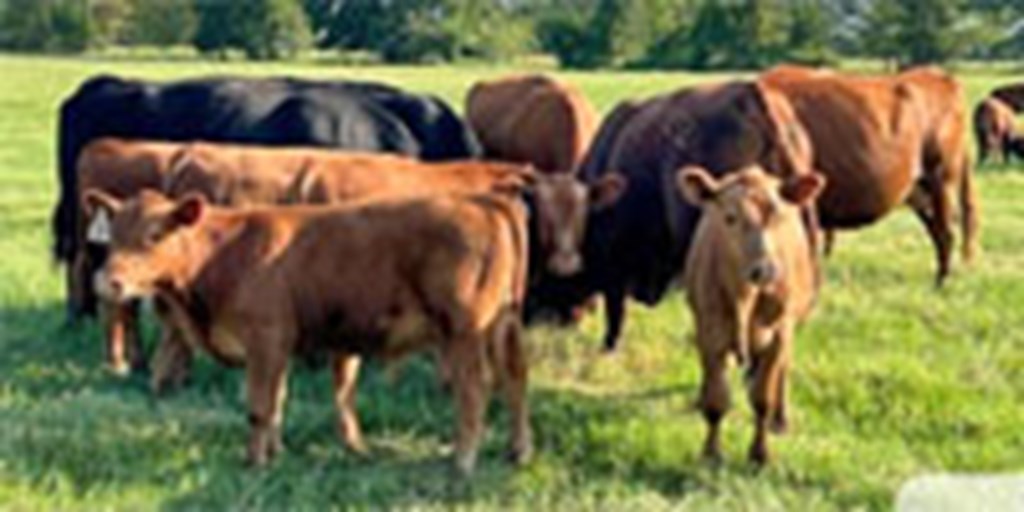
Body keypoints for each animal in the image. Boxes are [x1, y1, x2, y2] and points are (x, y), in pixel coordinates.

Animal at [678, 165, 824, 465]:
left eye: (779, 216)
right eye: (730, 217)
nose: (766, 269)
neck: (744, 299)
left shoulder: (780, 333)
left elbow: (762, 398)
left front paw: (759, 454)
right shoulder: (709, 332)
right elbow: (716, 399)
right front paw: (711, 453)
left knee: (783, 370)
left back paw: (781, 418)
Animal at [762, 65, 978, 283]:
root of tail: (936, 74)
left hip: (941, 180)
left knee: (946, 232)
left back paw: (942, 282)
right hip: (919, 191)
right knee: (937, 230)